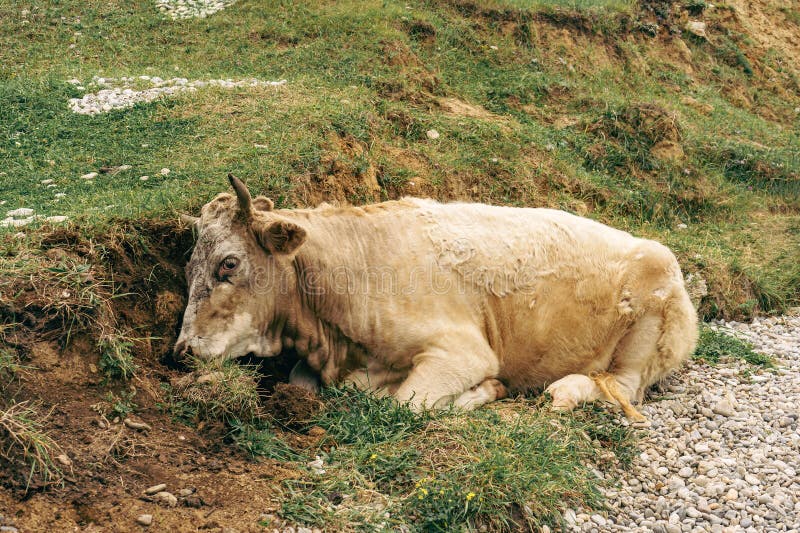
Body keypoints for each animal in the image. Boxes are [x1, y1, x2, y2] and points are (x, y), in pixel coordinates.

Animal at [175, 175, 698, 421]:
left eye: (228, 264)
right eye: (187, 267)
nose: (181, 352)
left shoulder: (463, 352)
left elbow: (405, 403)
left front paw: (487, 391)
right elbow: (300, 383)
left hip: (648, 325)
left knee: (623, 385)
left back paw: (565, 390)